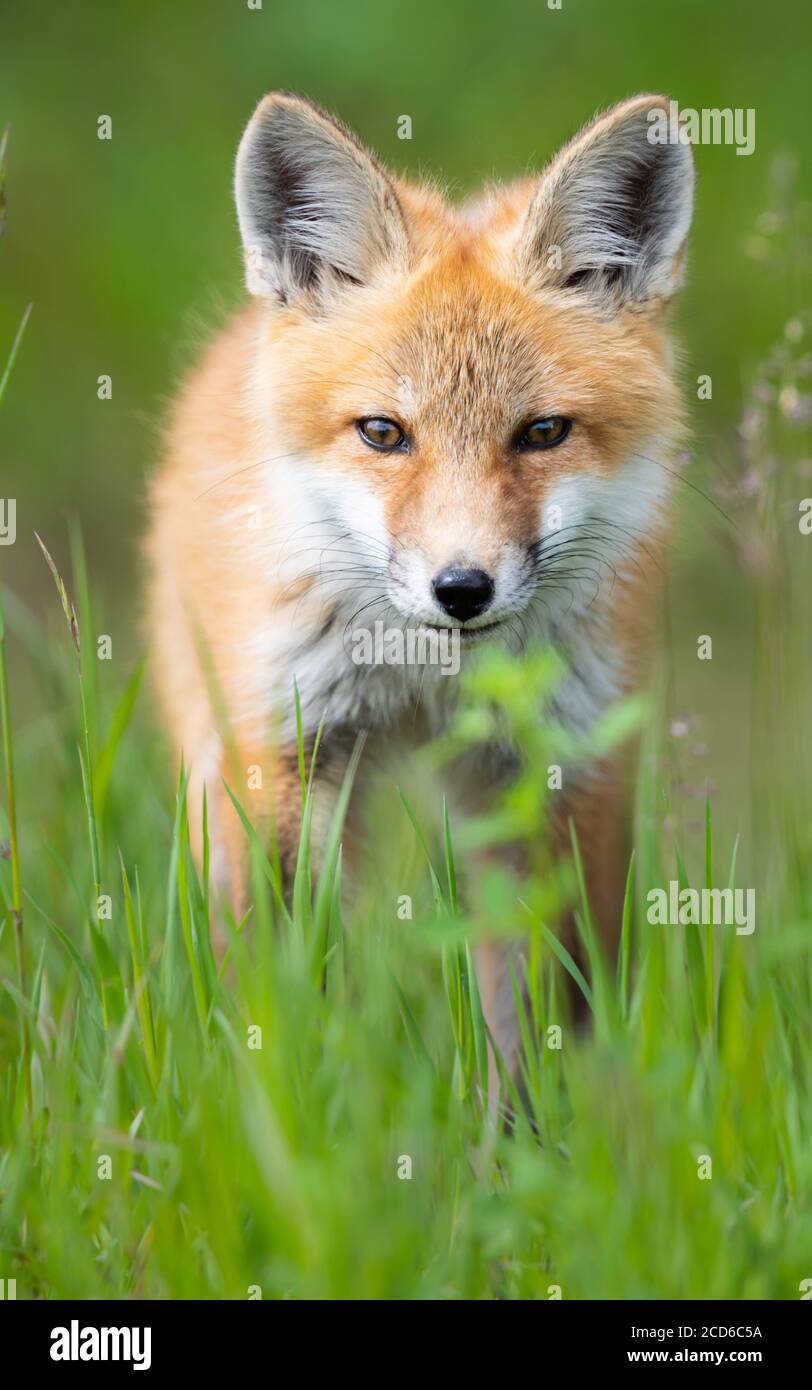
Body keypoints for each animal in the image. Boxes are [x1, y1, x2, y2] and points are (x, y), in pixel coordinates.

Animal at [146, 90, 694, 1076]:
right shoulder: (286, 755)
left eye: (543, 433)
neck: (425, 679)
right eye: (383, 433)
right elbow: (284, 989)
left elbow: (547, 1009)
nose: (462, 588)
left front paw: (541, 1121)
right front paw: (288, 1097)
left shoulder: (559, 766)